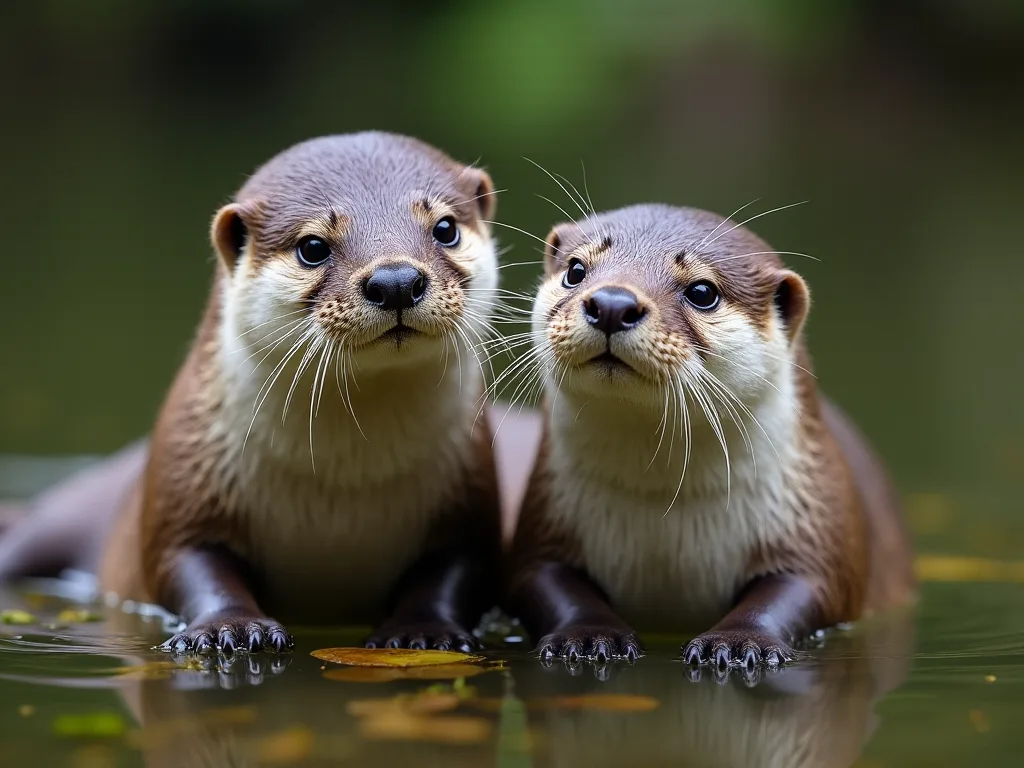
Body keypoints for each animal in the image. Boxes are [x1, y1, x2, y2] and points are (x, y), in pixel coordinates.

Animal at [0, 132, 508, 655]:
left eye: (445, 228)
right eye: (312, 246)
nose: (396, 281)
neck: (343, 486)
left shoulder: (468, 495)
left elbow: (454, 570)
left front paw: (423, 631)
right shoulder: (185, 475)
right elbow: (185, 561)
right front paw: (233, 627)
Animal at [505, 203, 915, 667]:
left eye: (702, 292)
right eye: (576, 270)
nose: (612, 303)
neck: (663, 508)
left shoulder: (818, 519)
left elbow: (810, 584)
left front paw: (739, 641)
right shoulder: (547, 516)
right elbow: (542, 576)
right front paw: (589, 636)